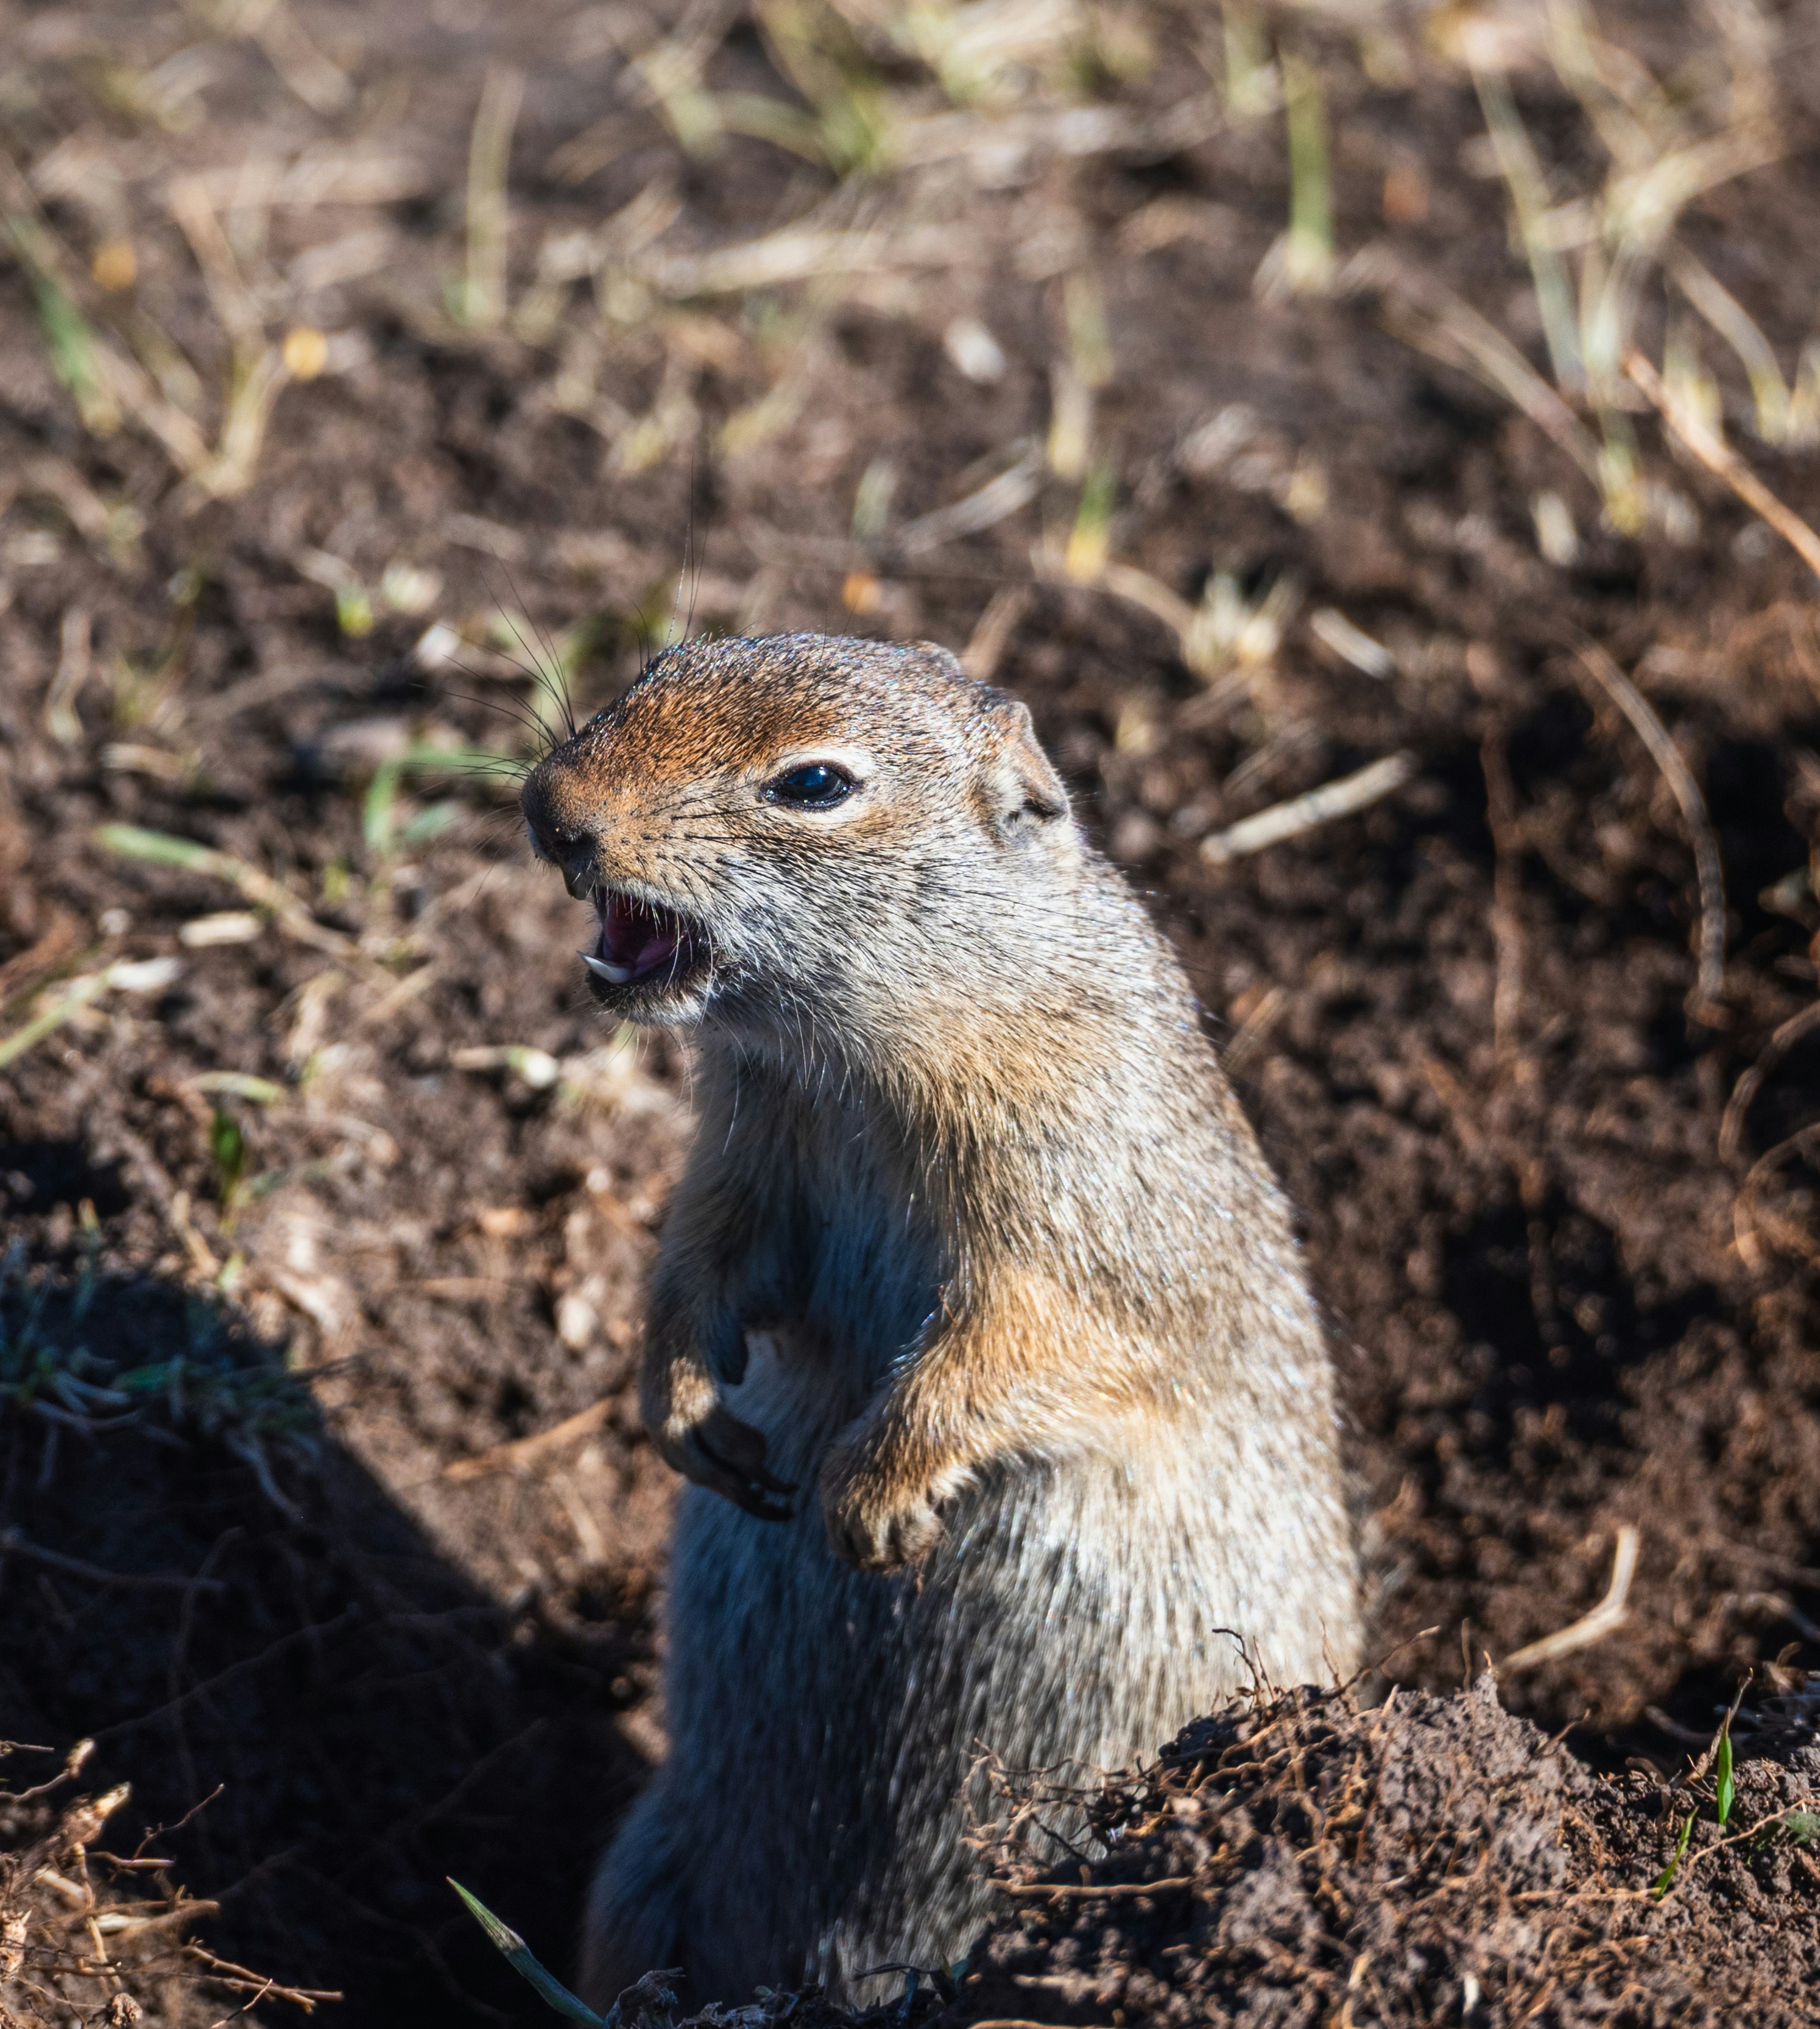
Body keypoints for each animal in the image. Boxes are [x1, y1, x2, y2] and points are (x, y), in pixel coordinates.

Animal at [519, 631, 1362, 2008]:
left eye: (814, 784)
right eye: (659, 662)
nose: (551, 810)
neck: (858, 1060)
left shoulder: (1065, 1210)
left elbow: (1013, 1347)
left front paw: (870, 1494)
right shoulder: (745, 1156)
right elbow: (700, 1260)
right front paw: (683, 1409)